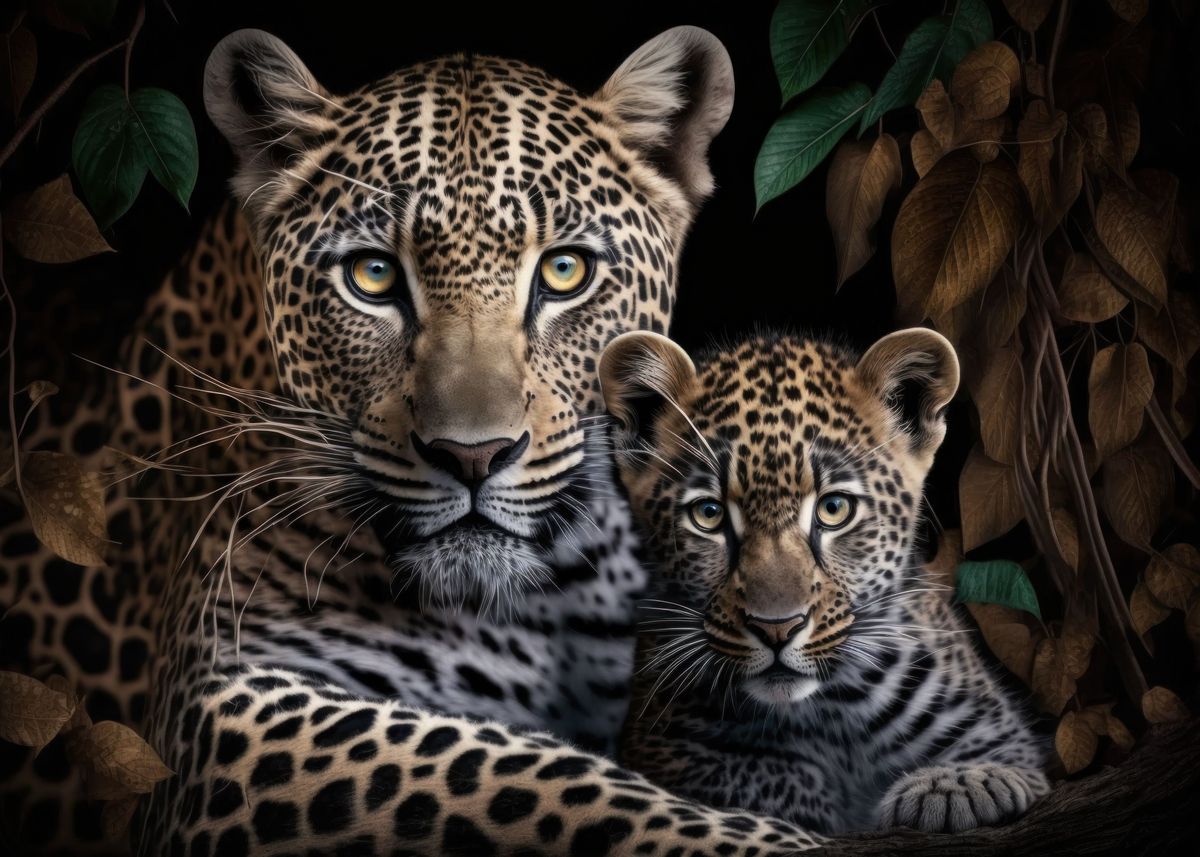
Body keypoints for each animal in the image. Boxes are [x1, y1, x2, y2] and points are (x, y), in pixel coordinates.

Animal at [599, 328, 1050, 835]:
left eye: (834, 509)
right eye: (708, 514)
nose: (777, 628)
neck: (830, 714)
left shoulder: (997, 733)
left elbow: (999, 764)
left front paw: (952, 788)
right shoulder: (661, 743)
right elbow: (748, 779)